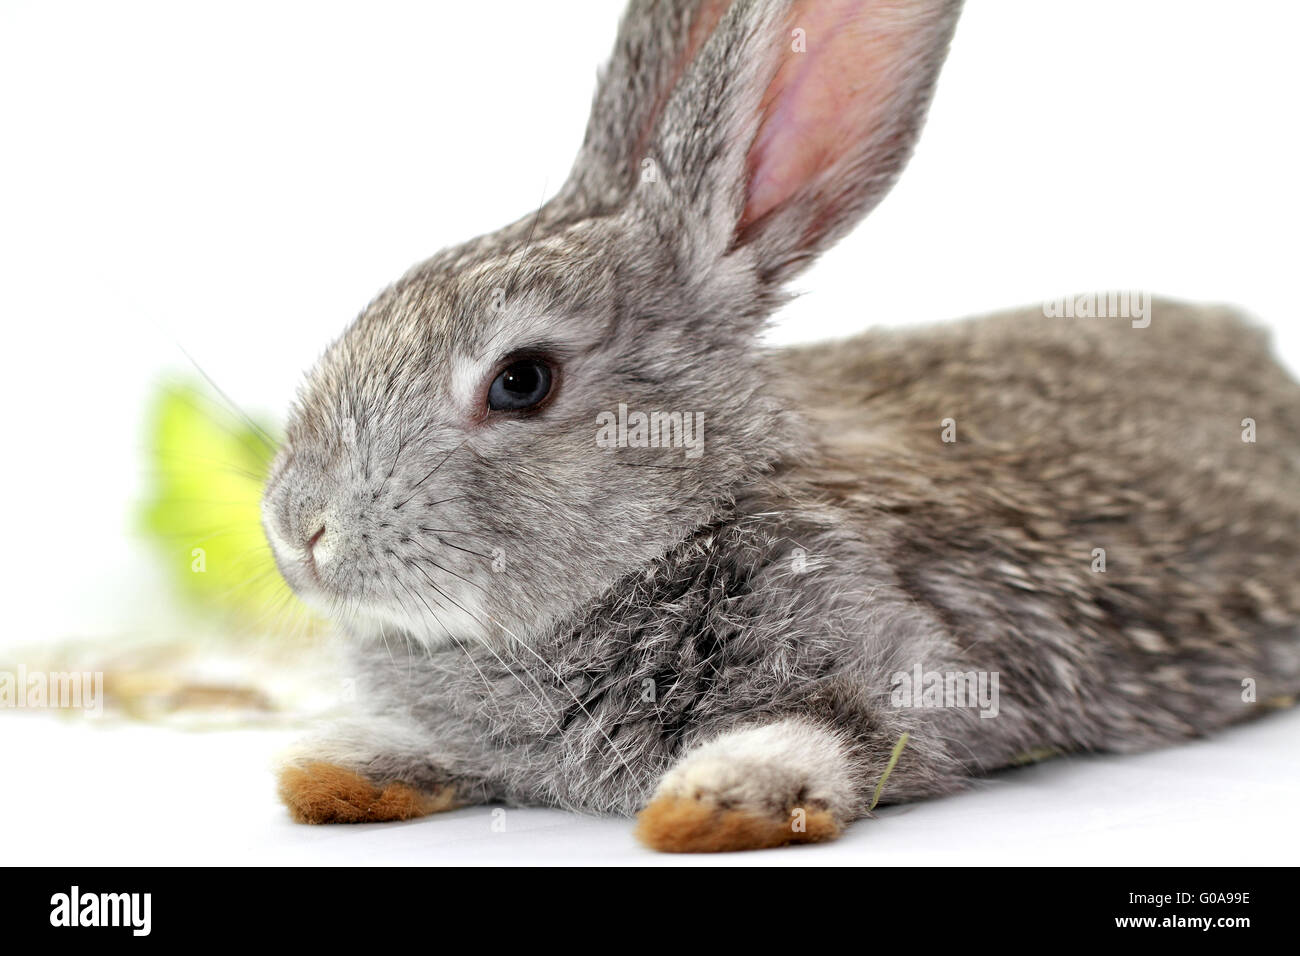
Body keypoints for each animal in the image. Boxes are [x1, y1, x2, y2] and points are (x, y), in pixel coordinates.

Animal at [263, 0, 1300, 852]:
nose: (297, 527)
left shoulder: (912, 679)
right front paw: (332, 770)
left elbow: (832, 742)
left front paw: (709, 804)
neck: (687, 523)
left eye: (521, 382)